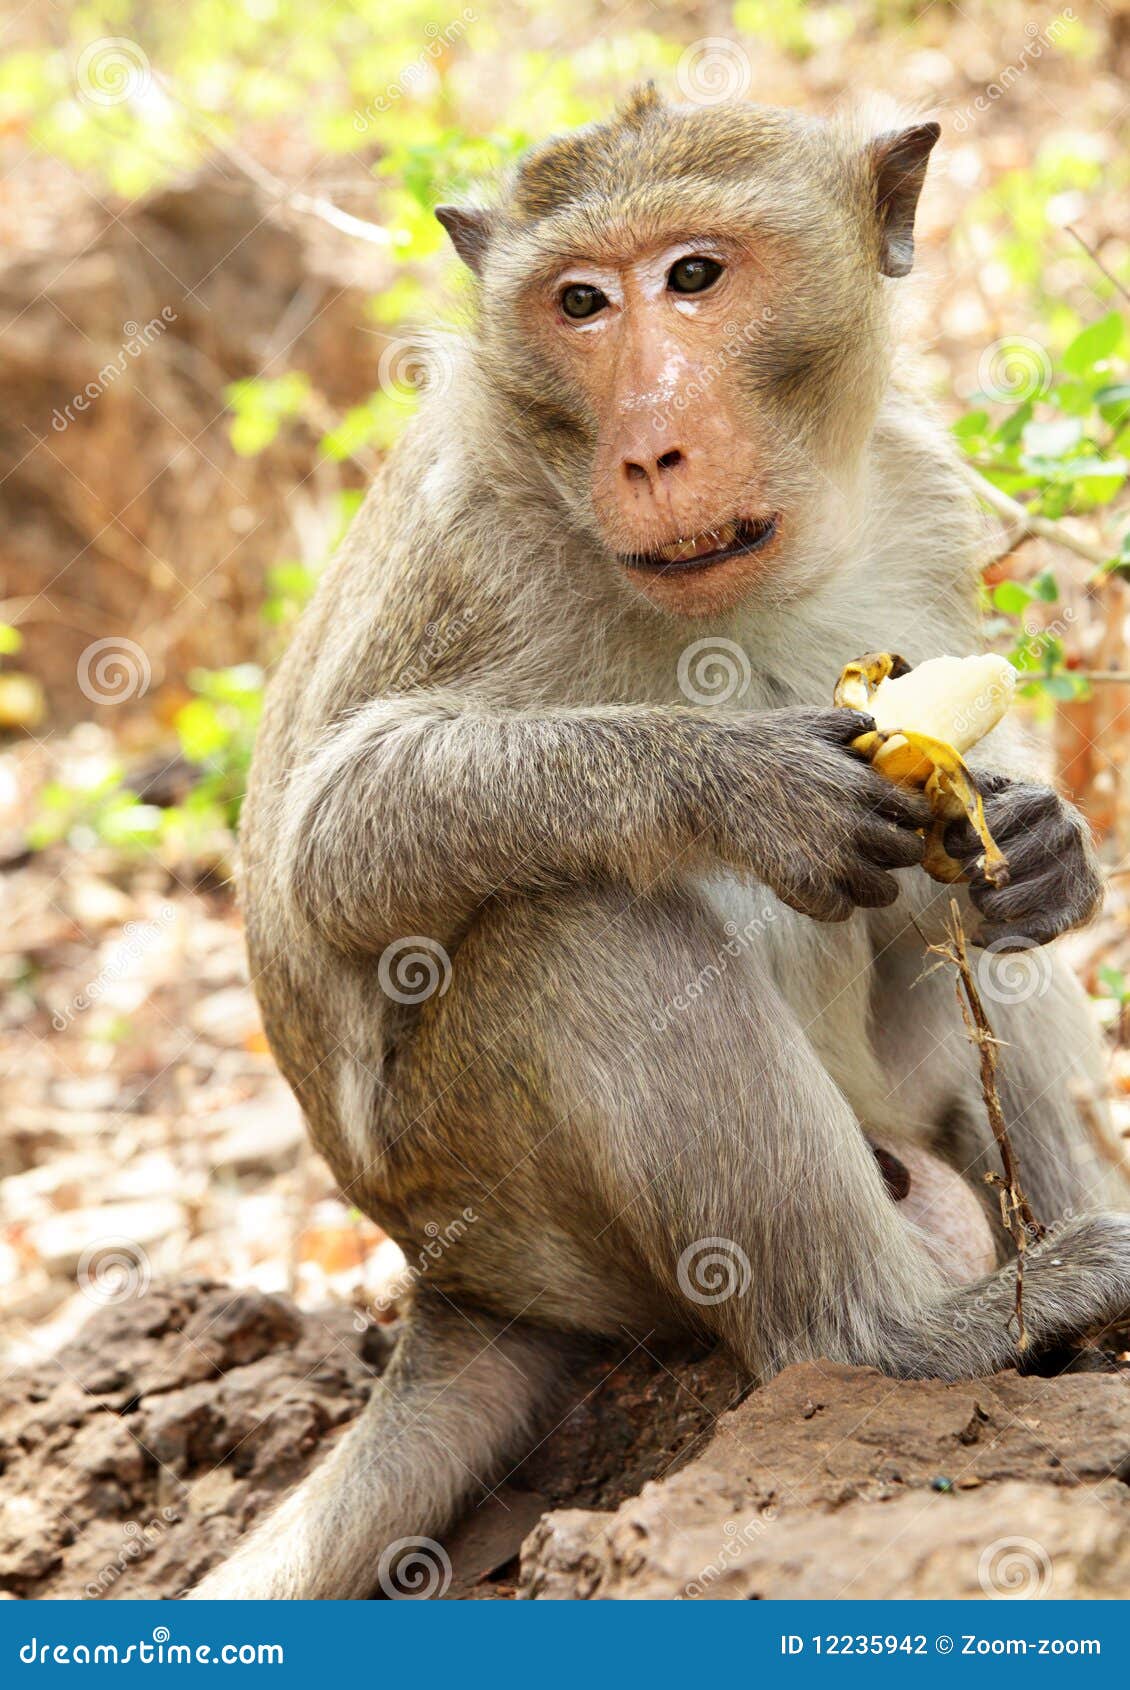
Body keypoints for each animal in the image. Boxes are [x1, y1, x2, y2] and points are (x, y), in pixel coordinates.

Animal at [191, 88, 1128, 1600]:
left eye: (692, 276)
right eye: (578, 303)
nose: (646, 450)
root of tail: (451, 1282)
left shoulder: (923, 491)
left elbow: (974, 847)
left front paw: (1047, 840)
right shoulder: (471, 525)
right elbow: (328, 842)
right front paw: (749, 785)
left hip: (881, 1092)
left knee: (967, 937)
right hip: (514, 1207)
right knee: (578, 929)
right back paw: (911, 1335)